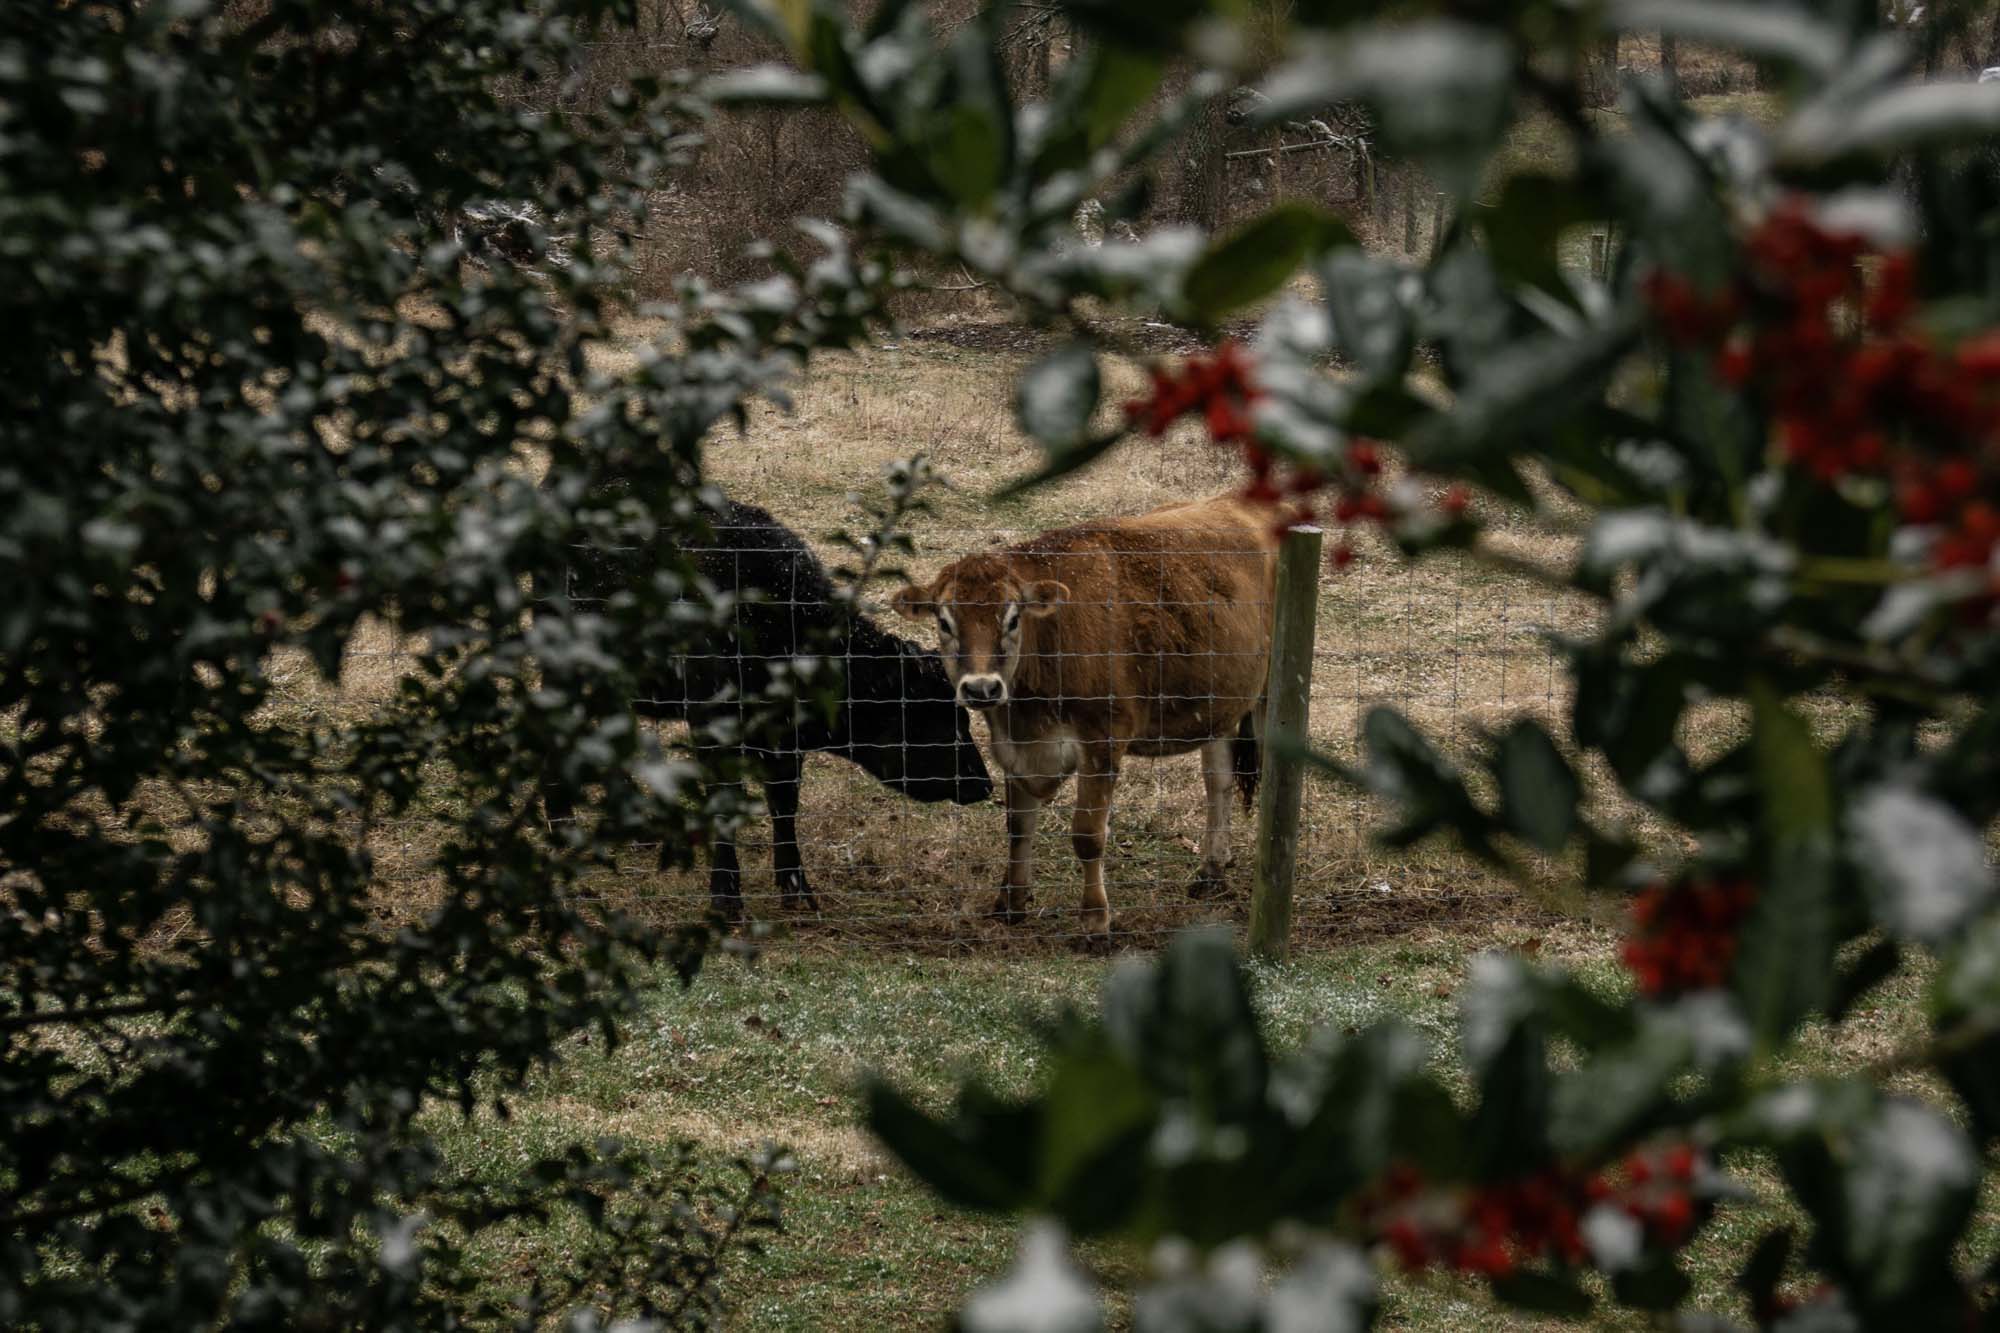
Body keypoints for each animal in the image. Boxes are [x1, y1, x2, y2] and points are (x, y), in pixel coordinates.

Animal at [560, 496, 994, 919]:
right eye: (936, 721)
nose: (984, 783)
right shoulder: (711, 728)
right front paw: (726, 895)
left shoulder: (785, 743)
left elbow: (785, 805)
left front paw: (796, 887)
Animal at [891, 493, 1283, 947]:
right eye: (944, 621)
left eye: (1013, 618)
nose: (982, 688)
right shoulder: (1014, 748)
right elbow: (1018, 825)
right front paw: (1011, 902)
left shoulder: (1102, 742)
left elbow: (1087, 835)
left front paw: (1096, 921)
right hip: (1218, 698)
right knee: (1217, 780)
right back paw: (1211, 871)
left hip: (1269, 693)